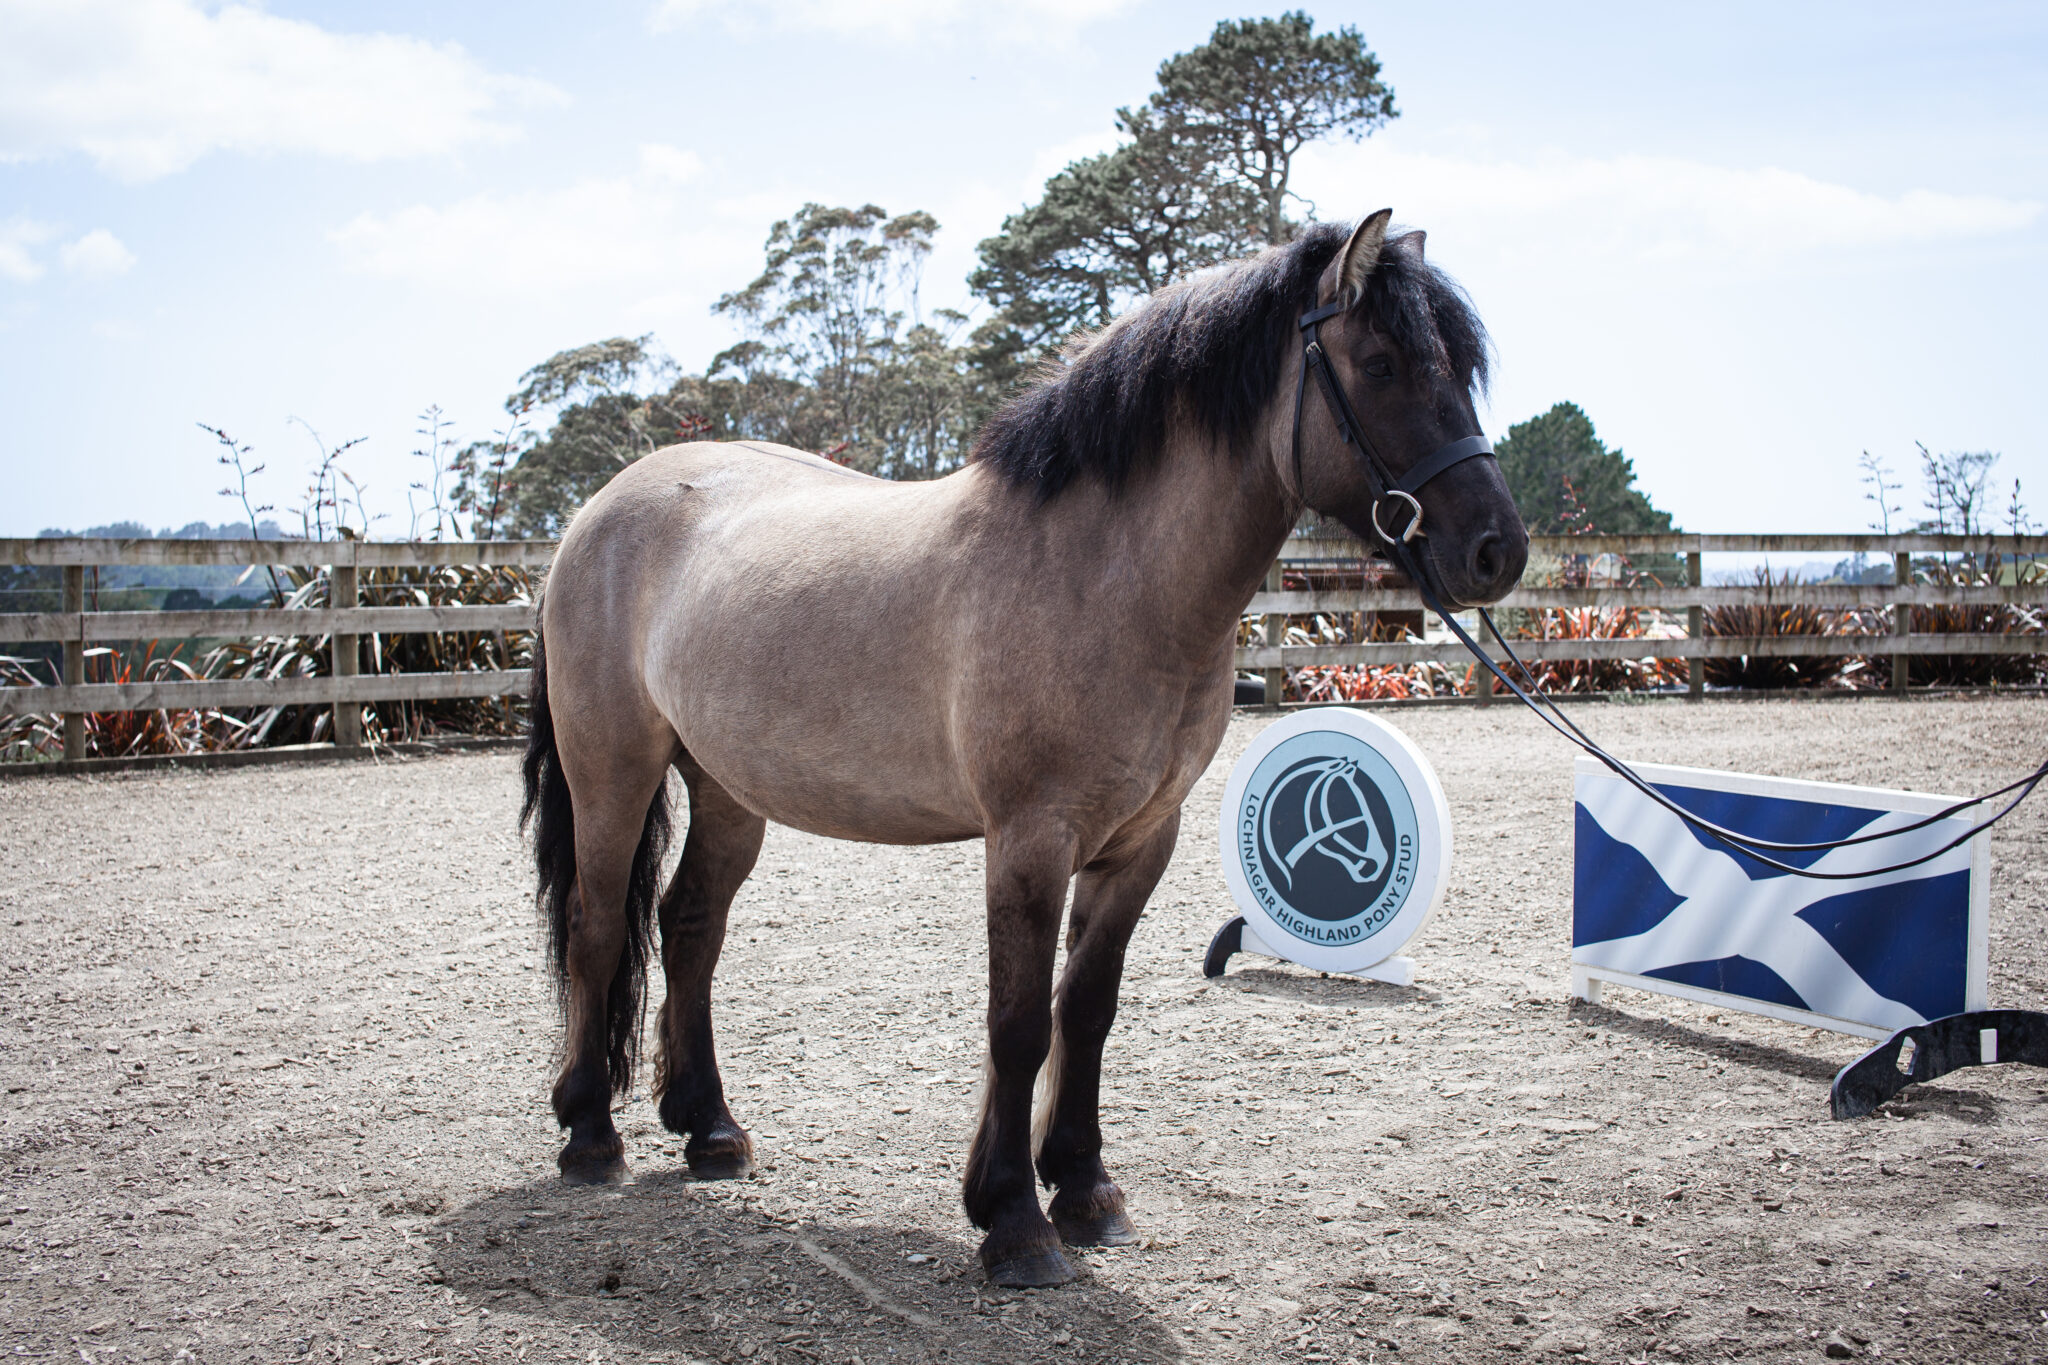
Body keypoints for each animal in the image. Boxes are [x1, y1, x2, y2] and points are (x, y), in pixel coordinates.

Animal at [519, 209, 1528, 1287]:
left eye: (1458, 367)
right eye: (1380, 363)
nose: (1495, 550)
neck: (1104, 573)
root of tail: (591, 516)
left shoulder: (1141, 841)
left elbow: (1085, 1010)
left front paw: (1083, 1189)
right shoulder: (1030, 840)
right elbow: (1017, 1021)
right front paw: (1011, 1217)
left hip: (726, 787)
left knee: (690, 925)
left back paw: (709, 1128)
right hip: (613, 769)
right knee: (594, 924)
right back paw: (590, 1134)